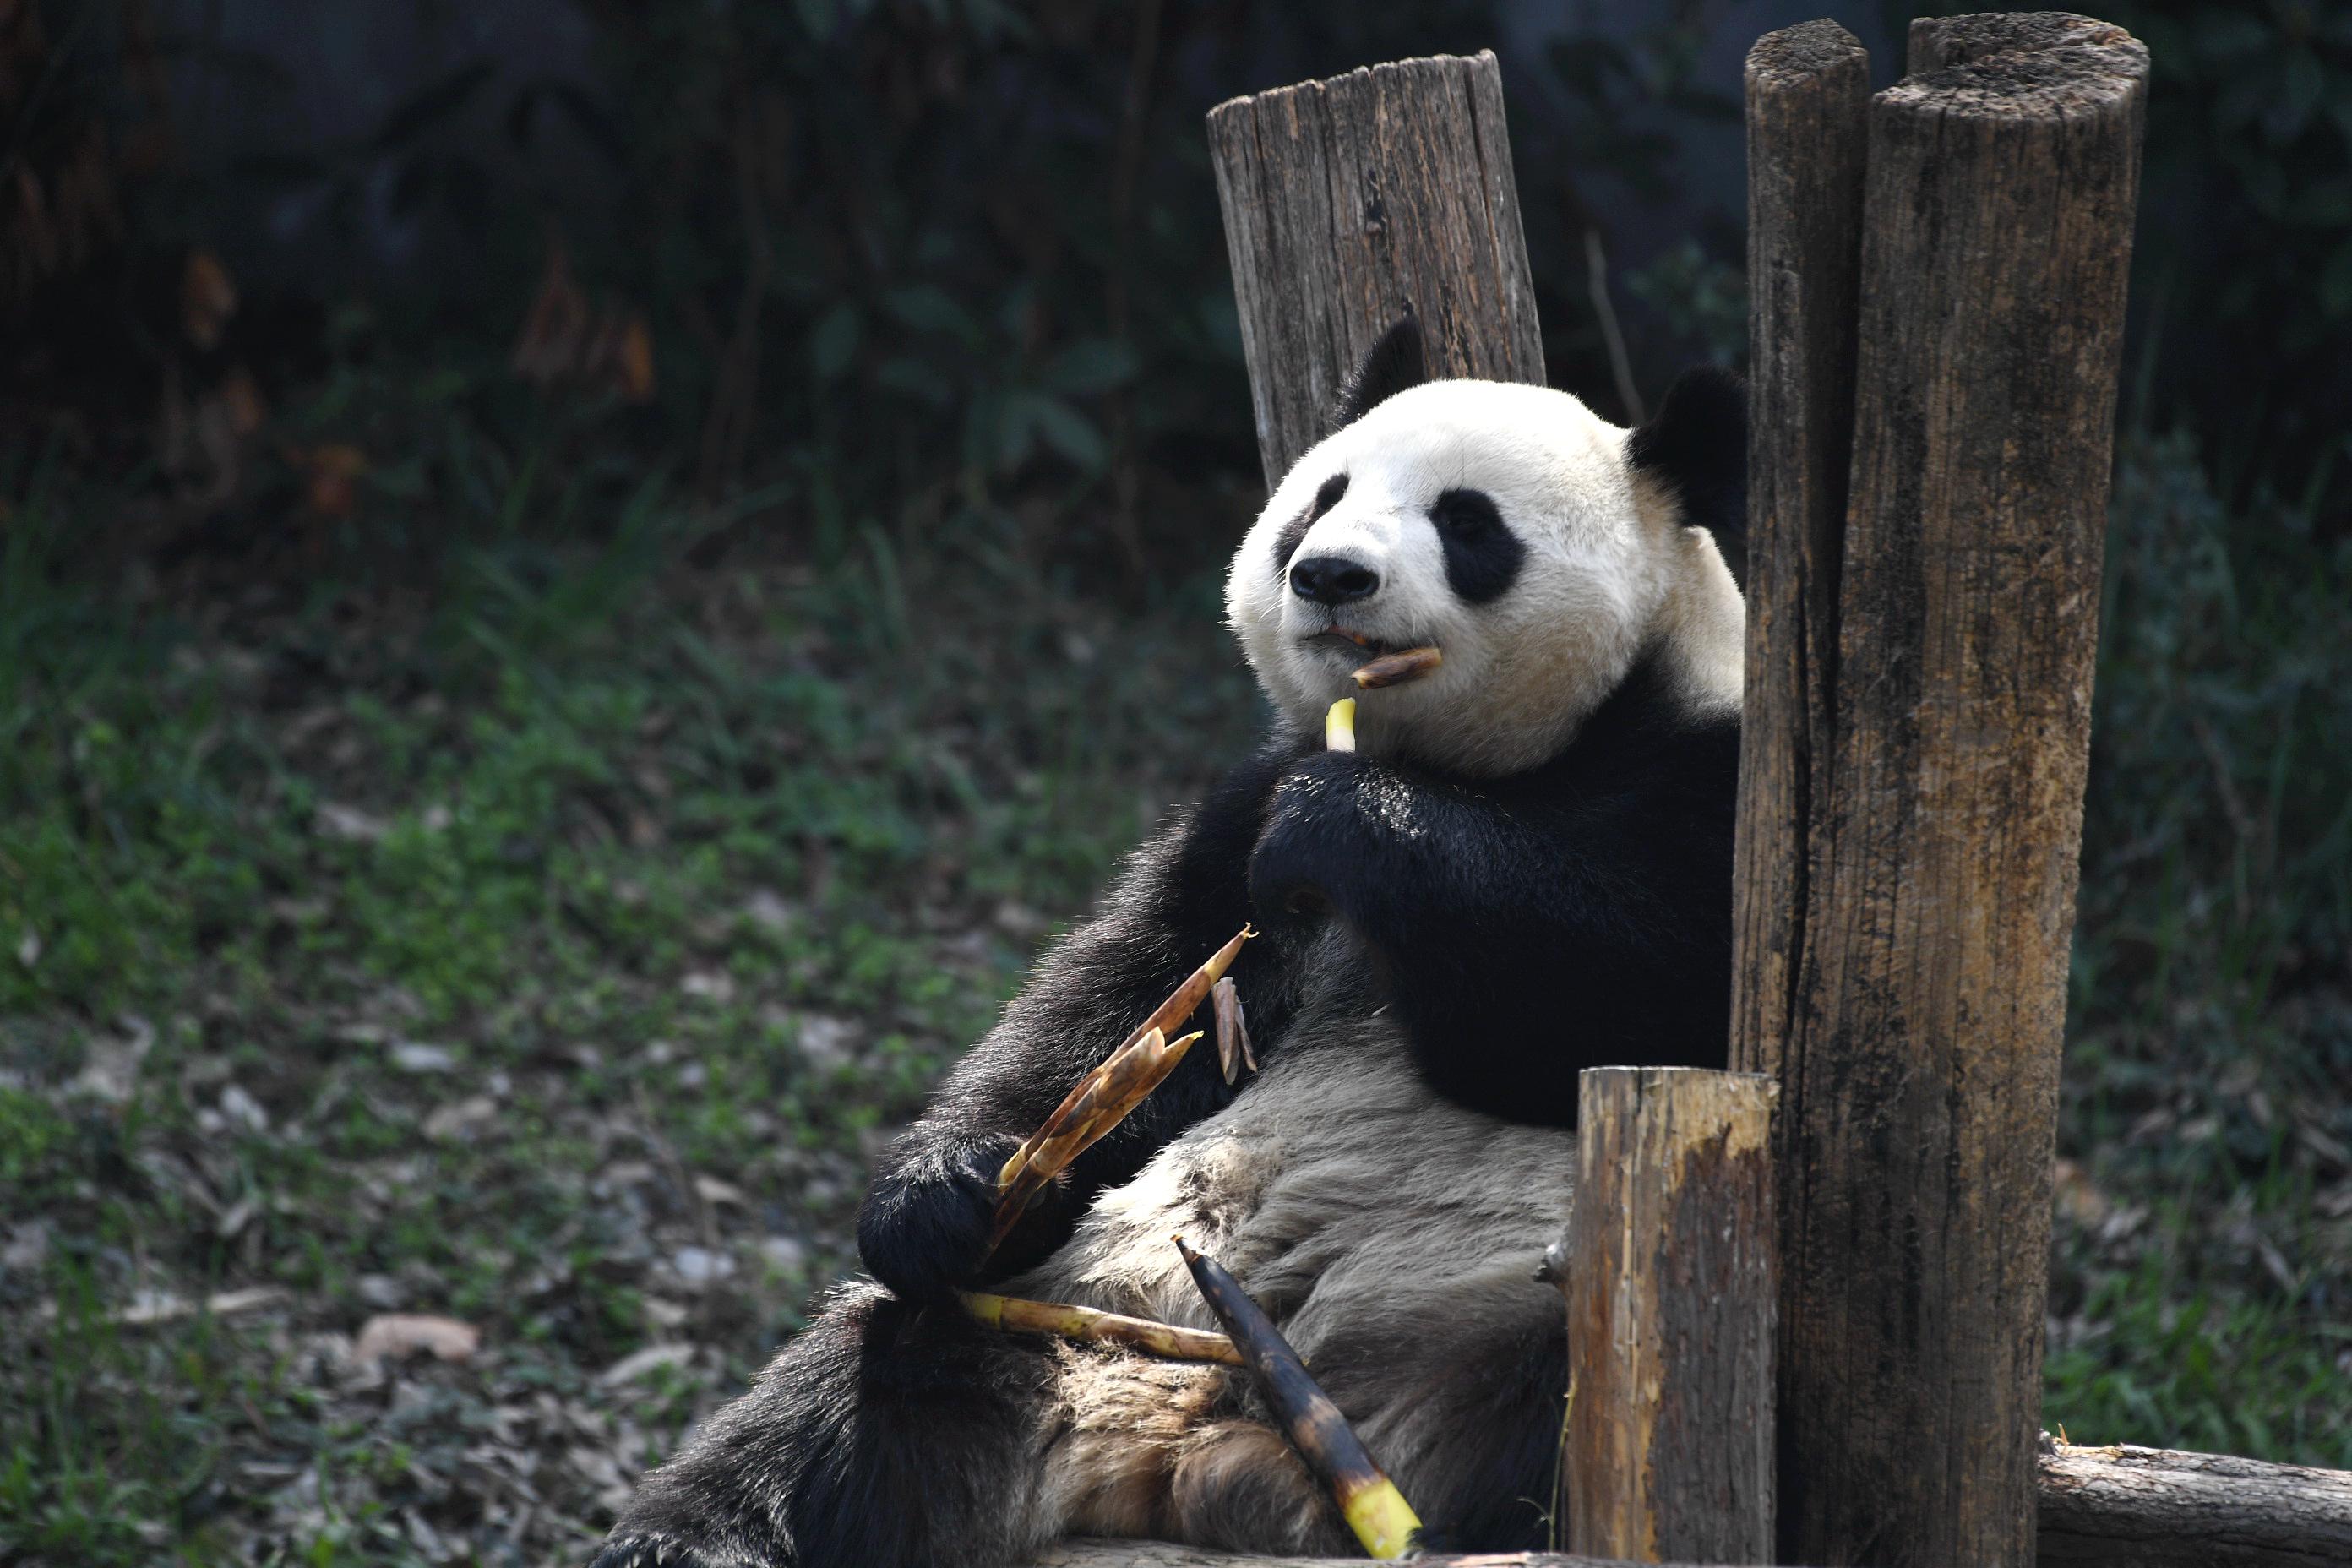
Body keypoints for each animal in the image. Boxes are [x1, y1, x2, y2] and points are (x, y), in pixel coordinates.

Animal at [592, 317, 1747, 1568]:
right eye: (1324, 495)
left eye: (1468, 522)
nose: (1328, 573)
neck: (1481, 761)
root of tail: (1196, 1453)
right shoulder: (1232, 817)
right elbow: (1126, 1002)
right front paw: (948, 1192)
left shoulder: (1710, 784)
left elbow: (1625, 996)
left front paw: (1354, 822)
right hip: (1061, 1319)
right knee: (840, 1408)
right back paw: (685, 1537)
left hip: (1488, 1328)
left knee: (1550, 1403)